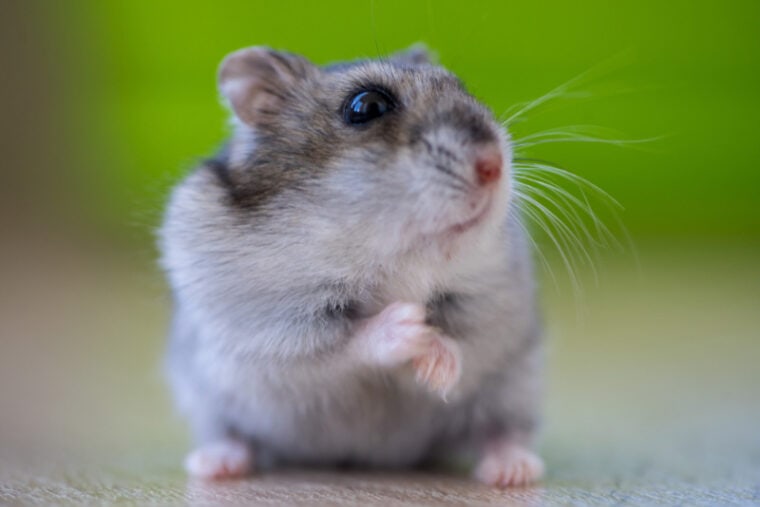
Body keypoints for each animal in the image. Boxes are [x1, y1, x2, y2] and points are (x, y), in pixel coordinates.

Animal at [159, 45, 544, 488]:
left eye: (463, 87)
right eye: (367, 106)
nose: (494, 165)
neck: (389, 256)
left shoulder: (488, 306)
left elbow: (463, 341)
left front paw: (439, 369)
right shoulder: (276, 330)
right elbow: (345, 342)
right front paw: (412, 329)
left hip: (516, 386)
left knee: (499, 430)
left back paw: (514, 471)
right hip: (208, 399)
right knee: (231, 434)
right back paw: (215, 465)